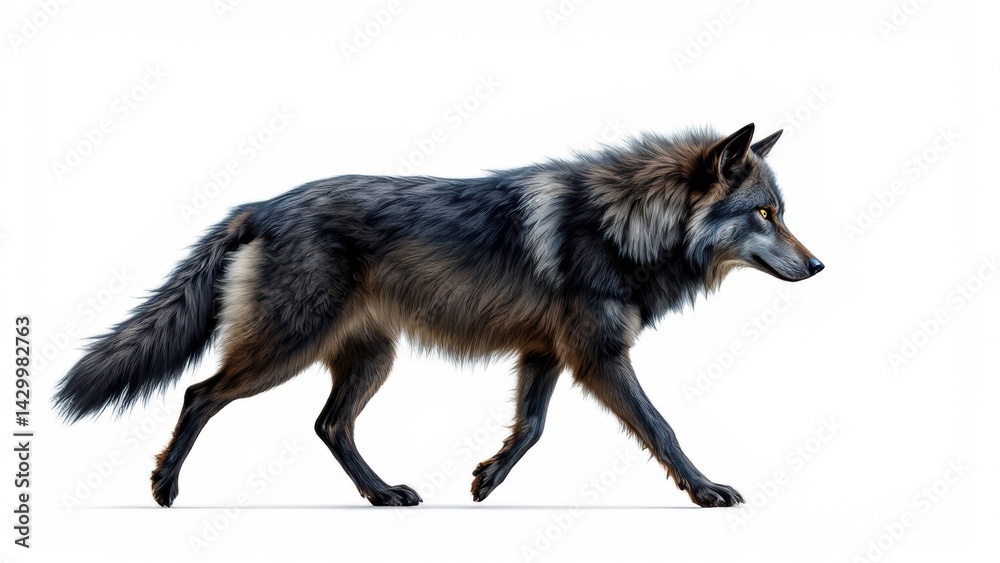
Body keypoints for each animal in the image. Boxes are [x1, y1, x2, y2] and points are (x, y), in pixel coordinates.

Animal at [54, 123, 823, 508]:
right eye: (765, 214)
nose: (818, 267)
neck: (626, 224)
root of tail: (258, 206)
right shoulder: (598, 356)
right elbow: (661, 427)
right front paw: (705, 489)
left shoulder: (547, 355)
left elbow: (531, 428)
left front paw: (487, 479)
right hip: (284, 353)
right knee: (198, 393)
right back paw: (165, 487)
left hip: (372, 358)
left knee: (327, 425)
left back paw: (381, 494)